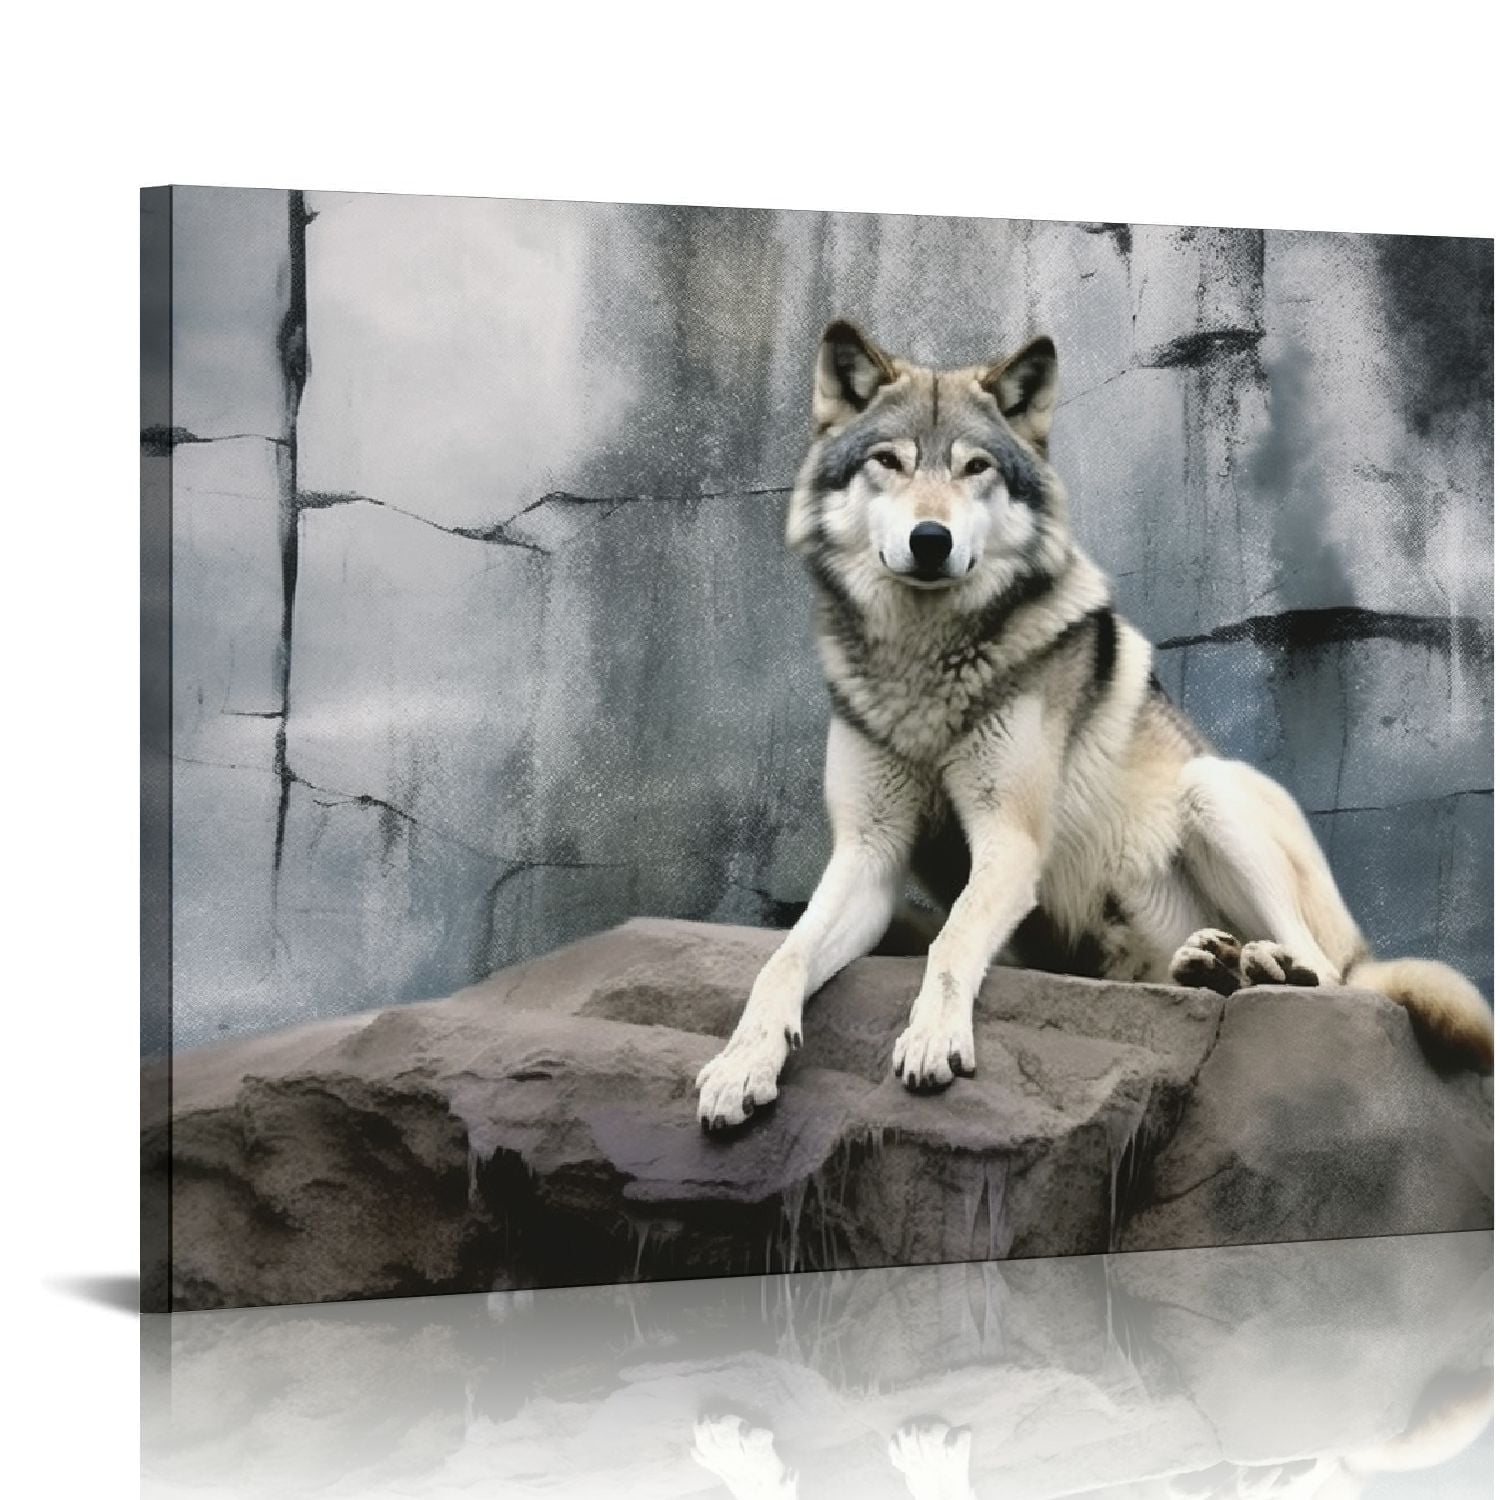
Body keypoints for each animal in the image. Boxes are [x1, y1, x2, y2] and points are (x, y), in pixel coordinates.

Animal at [695, 319, 1494, 1131]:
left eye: (975, 467)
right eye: (889, 461)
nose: (930, 539)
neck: (927, 659)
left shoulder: (1009, 841)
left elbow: (950, 942)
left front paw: (932, 1039)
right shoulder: (869, 852)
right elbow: (783, 958)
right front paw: (740, 1065)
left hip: (1210, 789)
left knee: (1334, 976)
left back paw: (1271, 965)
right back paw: (1210, 962)